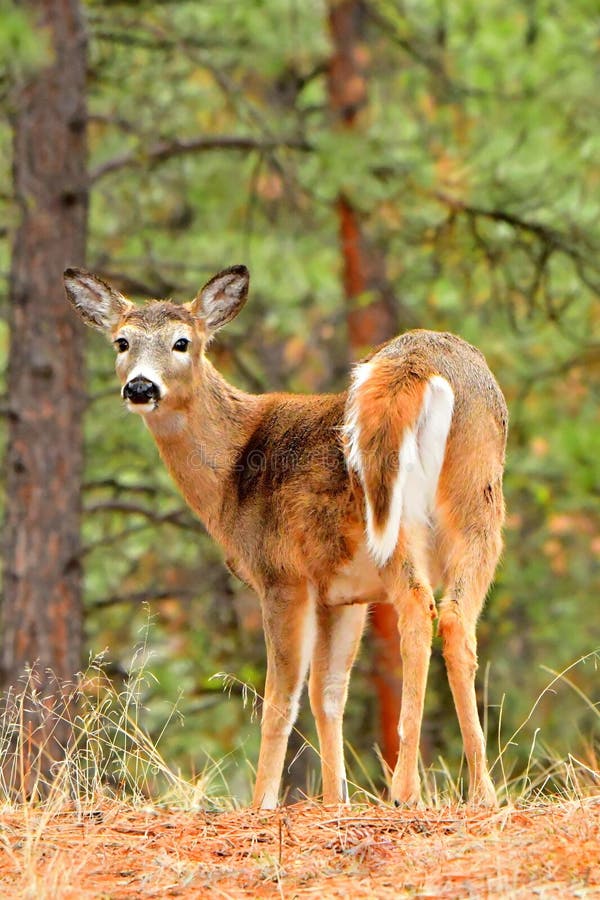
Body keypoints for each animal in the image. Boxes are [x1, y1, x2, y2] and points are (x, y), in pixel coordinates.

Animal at [64, 264, 507, 810]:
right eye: (121, 341)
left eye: (182, 342)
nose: (141, 387)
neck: (231, 470)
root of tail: (419, 369)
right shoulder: (341, 593)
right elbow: (328, 693)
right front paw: (336, 801)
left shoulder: (282, 576)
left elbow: (280, 699)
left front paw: (261, 804)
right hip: (478, 500)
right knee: (456, 618)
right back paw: (483, 792)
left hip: (393, 516)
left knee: (419, 610)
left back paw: (405, 792)